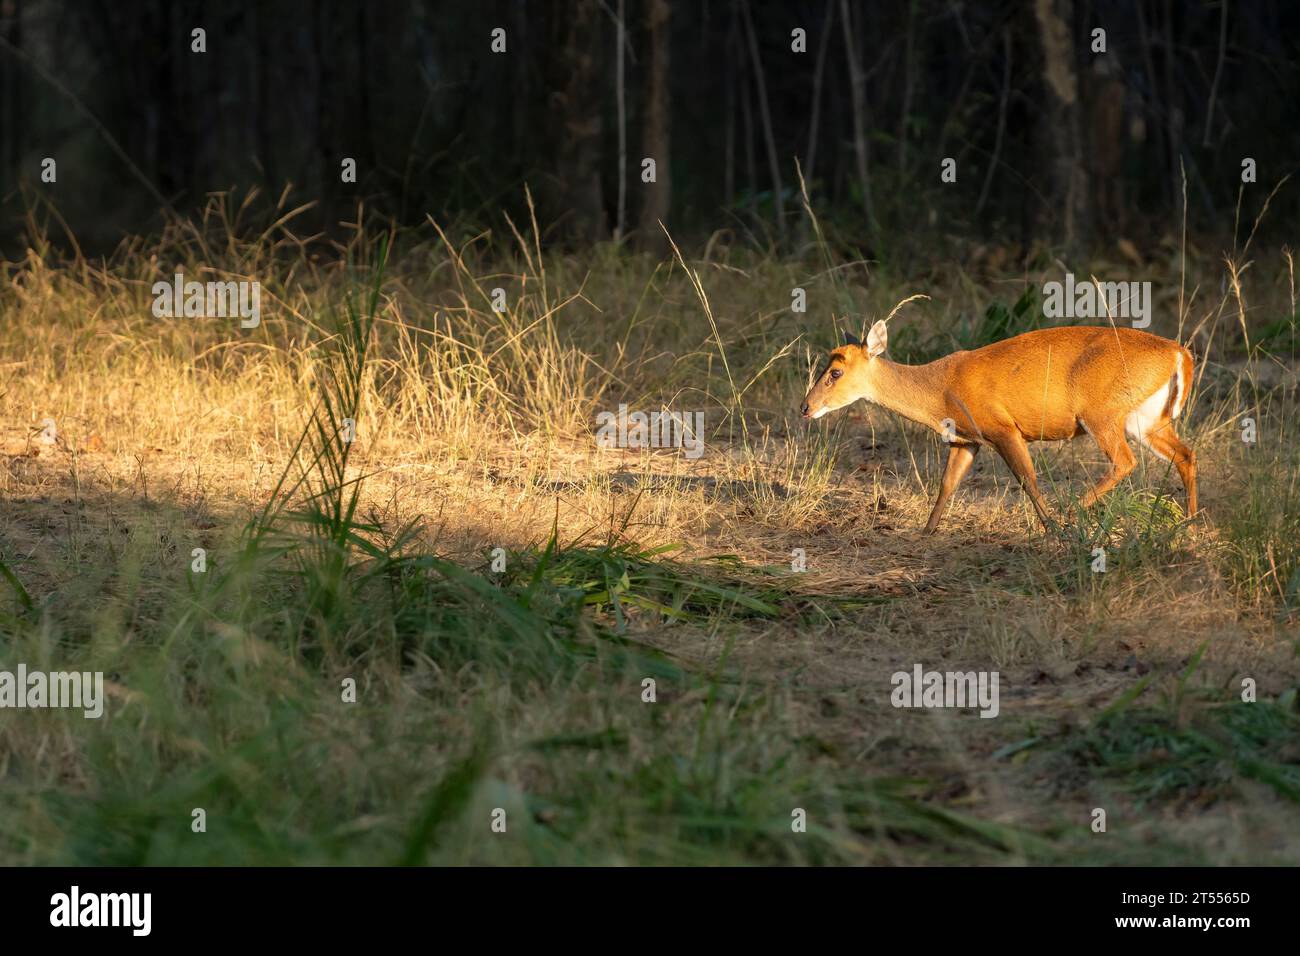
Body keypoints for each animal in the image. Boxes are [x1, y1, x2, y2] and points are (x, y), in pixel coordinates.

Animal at [801, 321, 1197, 533]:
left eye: (835, 373)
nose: (805, 407)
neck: (940, 389)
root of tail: (1180, 354)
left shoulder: (1002, 426)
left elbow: (1028, 479)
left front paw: (1051, 528)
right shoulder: (966, 439)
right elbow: (947, 484)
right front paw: (926, 532)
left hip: (1103, 412)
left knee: (1125, 461)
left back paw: (1071, 512)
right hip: (1146, 418)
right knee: (1185, 455)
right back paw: (1190, 523)